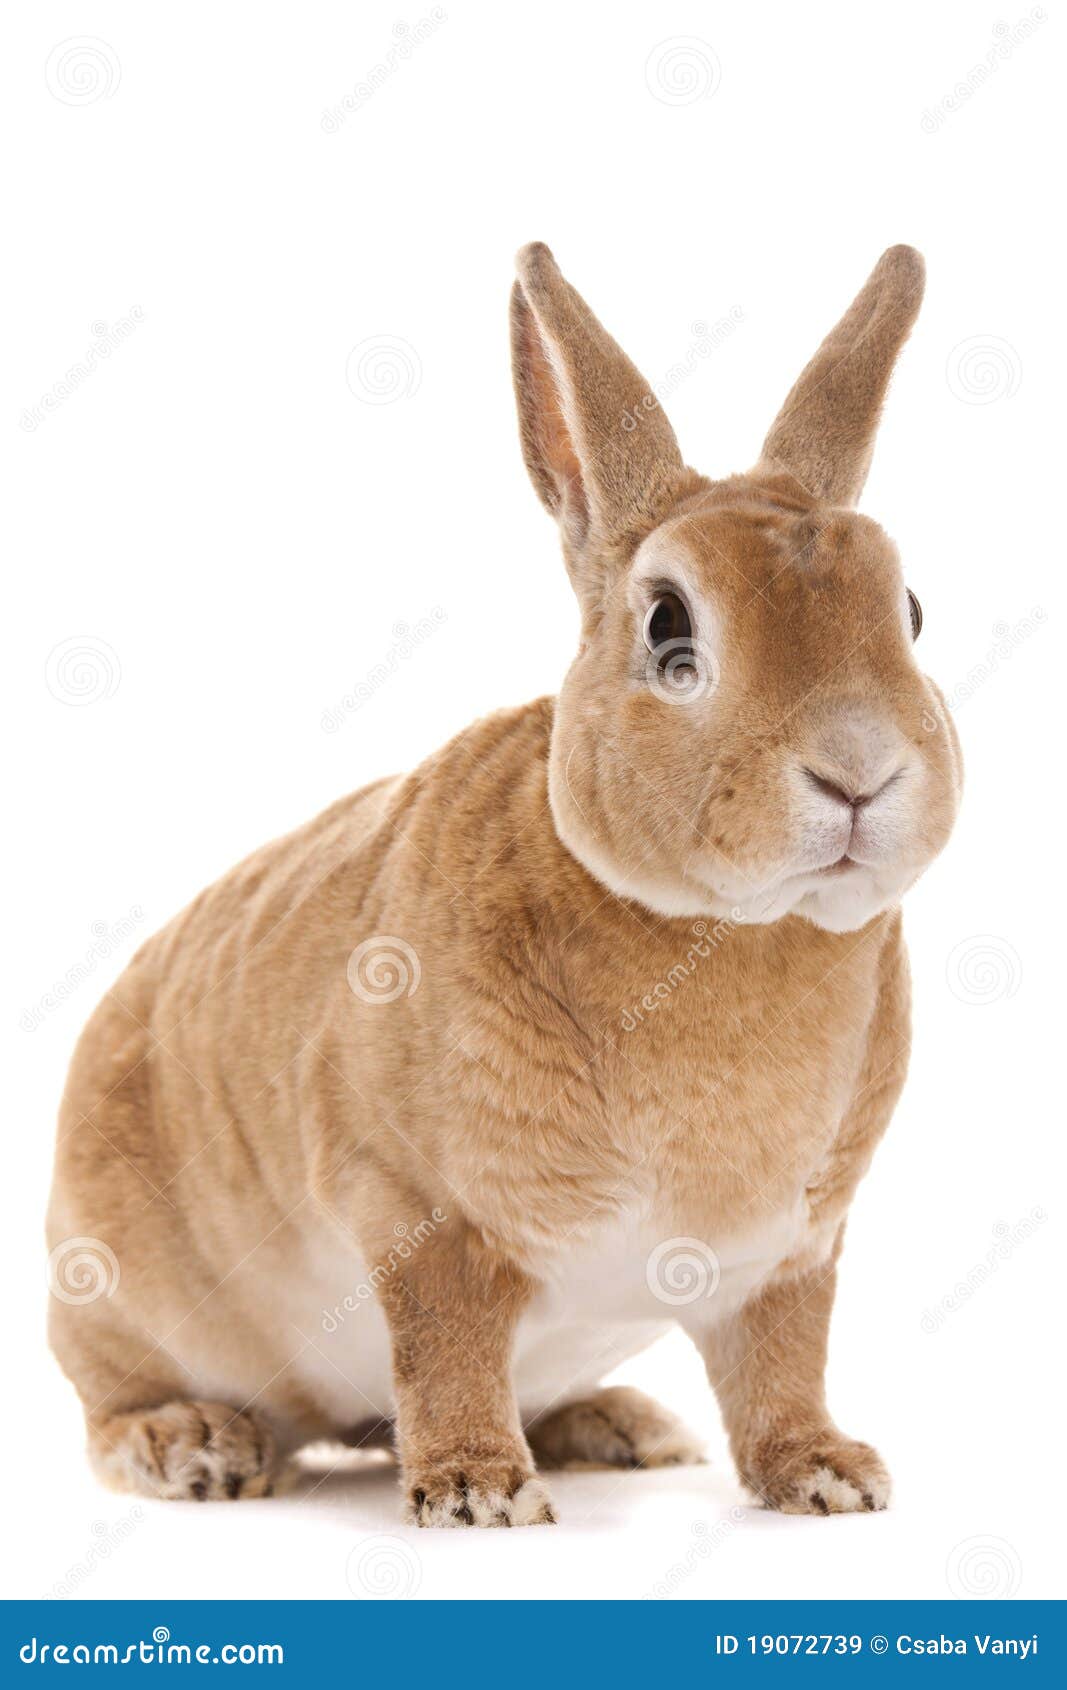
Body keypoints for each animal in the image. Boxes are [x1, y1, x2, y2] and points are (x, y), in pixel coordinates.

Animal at [47, 243, 961, 1526]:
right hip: (118, 1287)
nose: (858, 769)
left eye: (909, 612)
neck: (720, 931)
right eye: (668, 627)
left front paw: (826, 1475)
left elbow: (783, 1364)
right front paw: (476, 1492)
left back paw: (619, 1426)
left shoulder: (788, 1253)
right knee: (114, 1400)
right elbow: (446, 1344)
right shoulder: (418, 1211)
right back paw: (195, 1446)